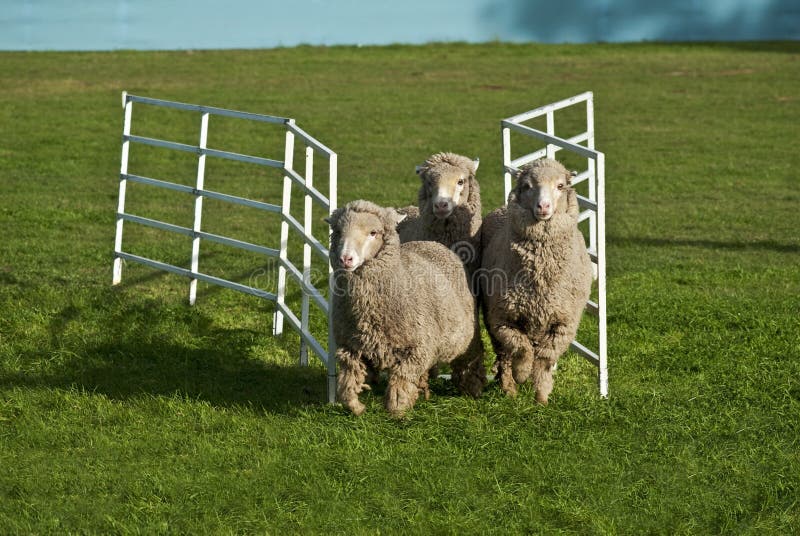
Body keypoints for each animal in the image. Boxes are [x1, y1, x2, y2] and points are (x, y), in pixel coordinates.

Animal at [327, 200, 486, 416]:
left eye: (373, 232)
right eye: (338, 231)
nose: (346, 259)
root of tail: (432, 243)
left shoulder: (415, 351)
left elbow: (399, 388)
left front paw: (398, 412)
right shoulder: (350, 349)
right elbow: (347, 387)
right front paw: (357, 408)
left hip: (467, 333)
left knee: (471, 355)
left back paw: (473, 388)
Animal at [480, 158, 592, 404]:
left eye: (560, 186)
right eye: (527, 186)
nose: (543, 207)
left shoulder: (564, 325)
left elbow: (543, 359)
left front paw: (542, 396)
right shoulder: (502, 319)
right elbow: (521, 349)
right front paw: (521, 374)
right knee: (505, 355)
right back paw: (509, 389)